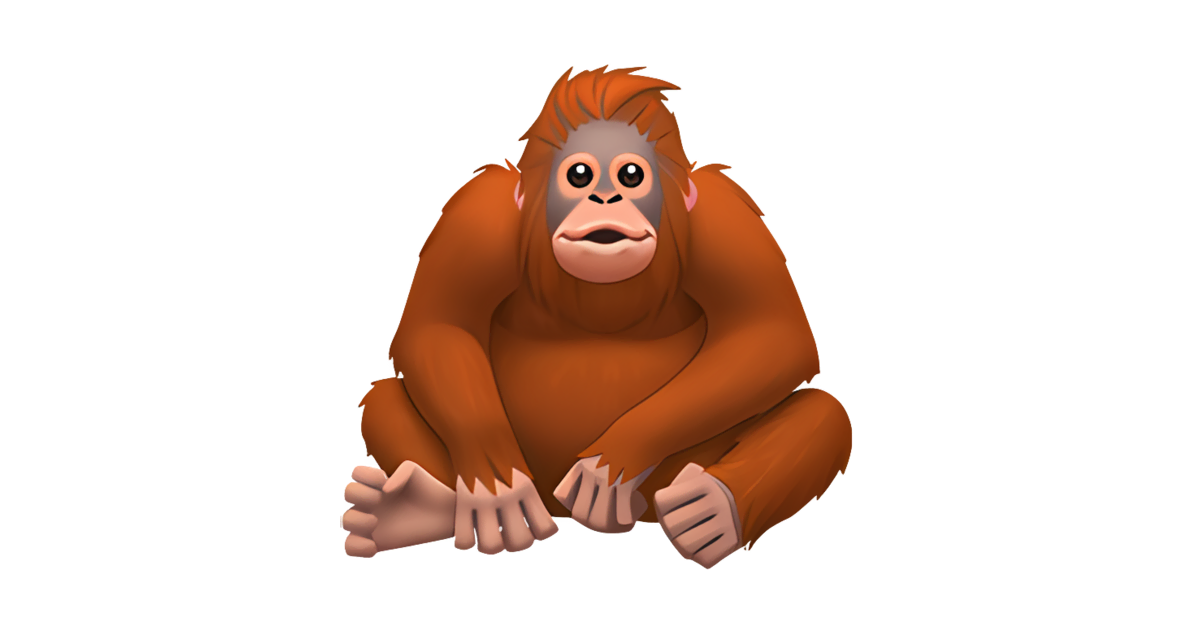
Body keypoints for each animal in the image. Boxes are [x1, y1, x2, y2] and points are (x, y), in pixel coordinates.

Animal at [342, 67, 852, 568]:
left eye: (631, 174)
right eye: (580, 174)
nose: (605, 198)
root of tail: (556, 508)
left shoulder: (721, 215)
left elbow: (771, 331)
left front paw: (609, 465)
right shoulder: (478, 217)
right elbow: (440, 326)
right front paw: (499, 487)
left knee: (825, 413)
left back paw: (709, 509)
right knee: (386, 398)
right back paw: (410, 509)